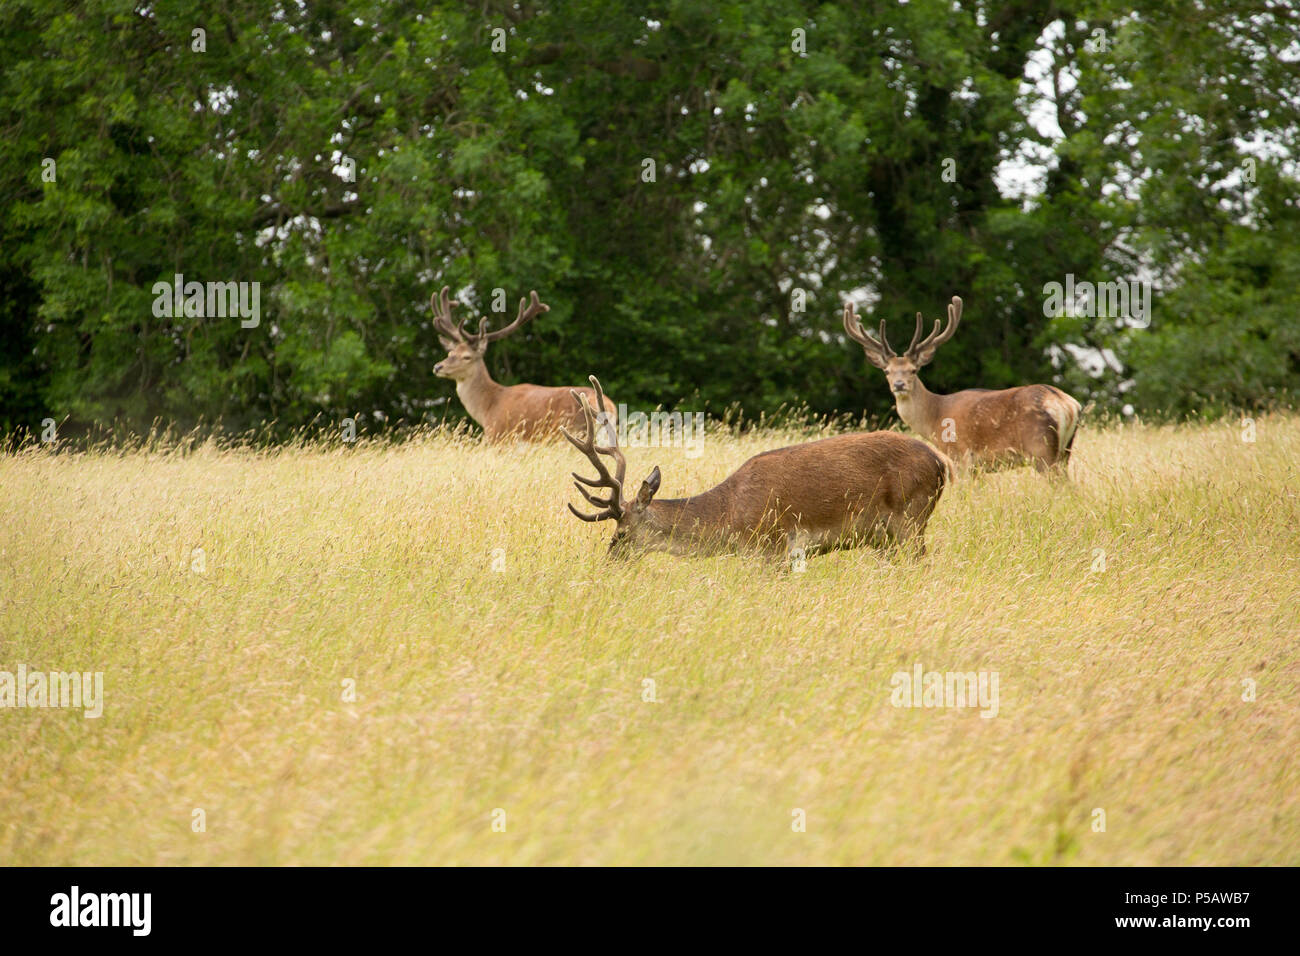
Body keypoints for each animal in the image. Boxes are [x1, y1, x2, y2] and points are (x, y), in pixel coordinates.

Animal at [432, 287, 616, 441]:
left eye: (467, 357)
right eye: (450, 353)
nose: (438, 367)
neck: (488, 408)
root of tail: (610, 409)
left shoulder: (498, 436)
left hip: (569, 432)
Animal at [561, 376, 952, 563]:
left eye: (622, 532)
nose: (610, 560)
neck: (731, 514)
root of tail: (940, 464)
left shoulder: (772, 545)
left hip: (912, 516)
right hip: (887, 535)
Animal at [842, 295, 1081, 475]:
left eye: (913, 370)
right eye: (887, 371)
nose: (899, 385)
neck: (934, 418)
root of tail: (1065, 403)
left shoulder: (960, 456)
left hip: (1041, 449)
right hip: (1065, 451)